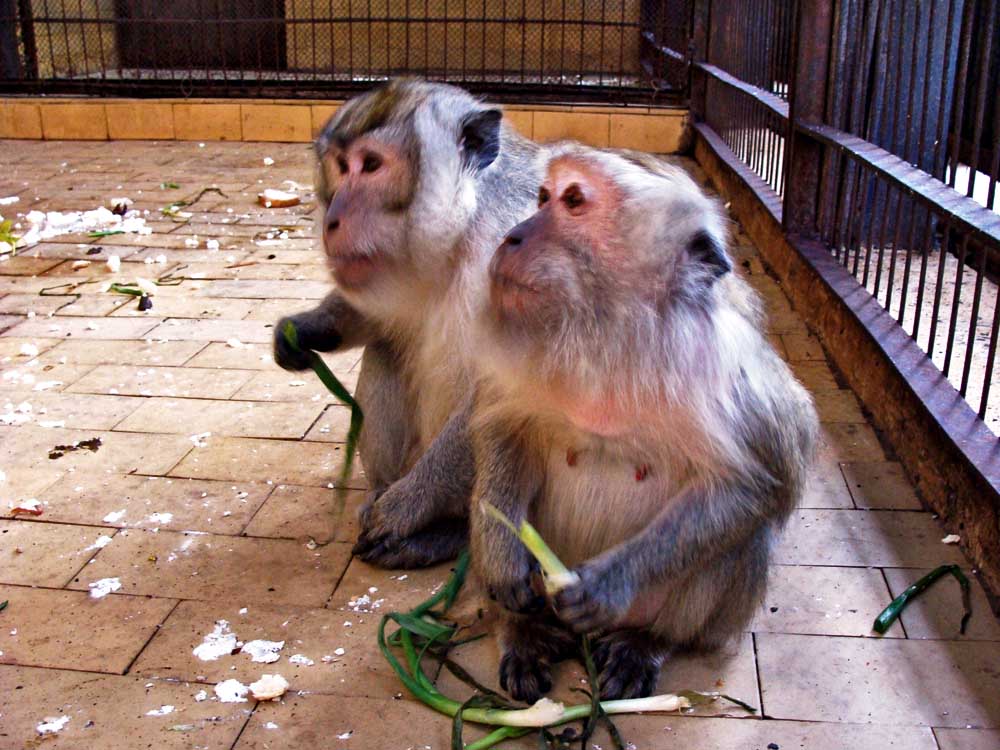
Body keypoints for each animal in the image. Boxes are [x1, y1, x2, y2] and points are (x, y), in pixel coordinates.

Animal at [273, 79, 547, 568]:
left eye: (372, 165)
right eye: (341, 166)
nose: (332, 219)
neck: (467, 226)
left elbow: (508, 396)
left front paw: (404, 509)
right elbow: (377, 316)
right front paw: (301, 329)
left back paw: (441, 531)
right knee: (385, 348)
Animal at [468, 143, 818, 701]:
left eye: (573, 200)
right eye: (542, 197)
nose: (512, 236)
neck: (611, 334)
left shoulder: (731, 369)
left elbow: (756, 484)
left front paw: (610, 584)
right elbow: (501, 426)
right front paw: (504, 555)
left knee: (745, 539)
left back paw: (646, 641)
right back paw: (524, 632)